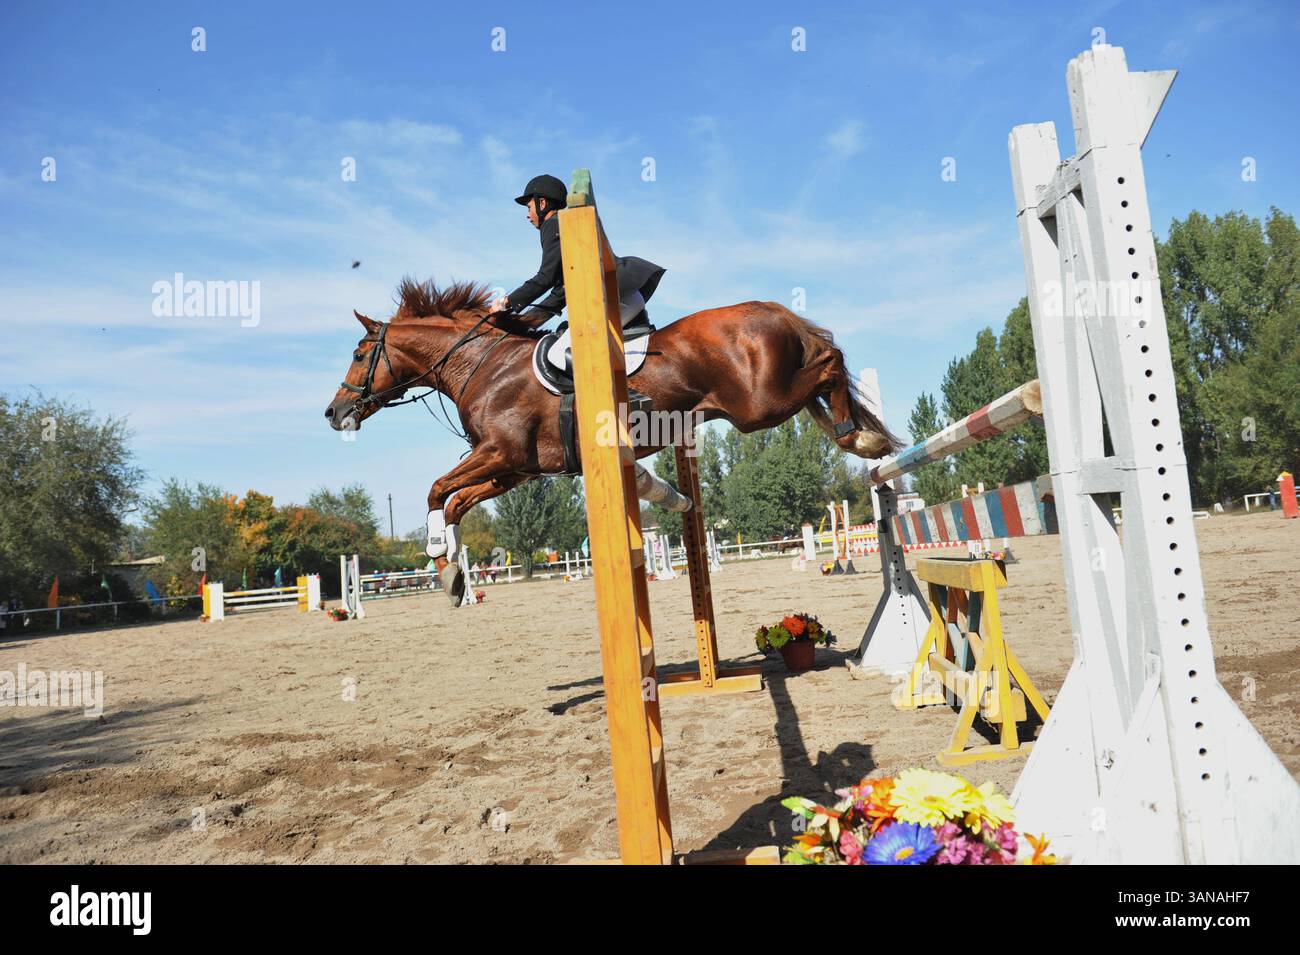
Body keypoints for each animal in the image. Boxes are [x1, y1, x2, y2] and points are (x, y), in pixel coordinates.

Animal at [324, 278, 898, 602]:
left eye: (358, 353)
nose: (334, 413)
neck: (483, 365)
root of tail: (774, 308)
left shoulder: (499, 453)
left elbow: (436, 490)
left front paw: (442, 562)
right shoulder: (513, 468)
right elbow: (454, 501)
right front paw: (452, 576)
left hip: (759, 406)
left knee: (830, 361)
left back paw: (862, 438)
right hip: (765, 402)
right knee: (821, 376)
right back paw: (854, 433)